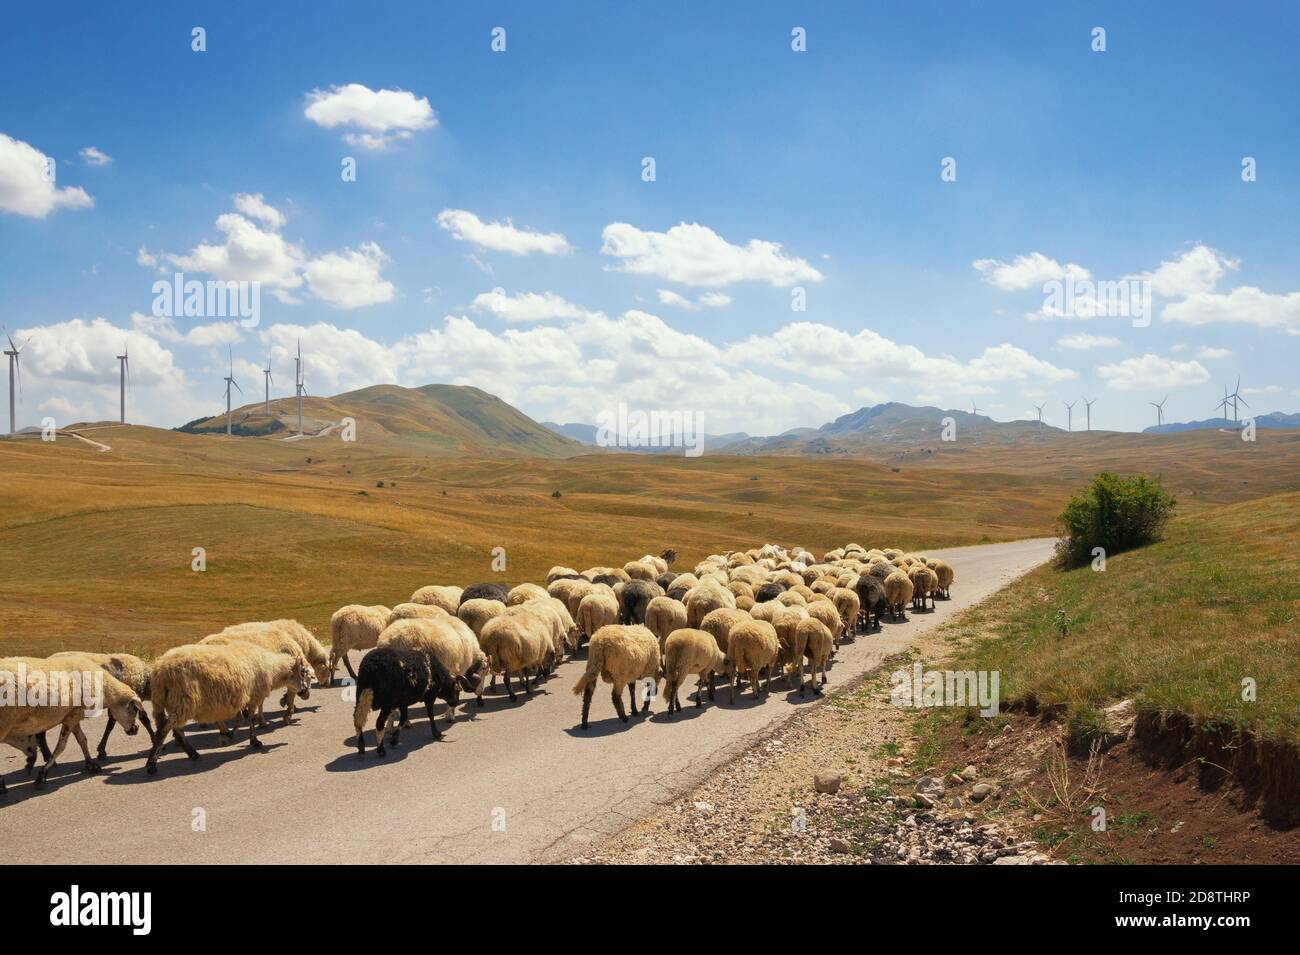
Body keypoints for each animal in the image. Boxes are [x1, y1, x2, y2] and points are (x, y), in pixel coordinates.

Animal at [1, 656, 146, 792]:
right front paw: (42, 775)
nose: (136, 728)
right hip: (4, 723)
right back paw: (3, 787)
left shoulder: (74, 714)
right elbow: (61, 746)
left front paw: (91, 764)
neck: (106, 689)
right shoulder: (73, 716)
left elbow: (82, 740)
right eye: (134, 709)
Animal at [145, 644, 311, 775]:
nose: (303, 691)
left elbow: (241, 718)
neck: (272, 669)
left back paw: (193, 754)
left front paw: (229, 734)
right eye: (302, 672)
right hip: (182, 702)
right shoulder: (254, 695)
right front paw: (254, 741)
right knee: (163, 731)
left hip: (168, 703)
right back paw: (151, 765)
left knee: (176, 730)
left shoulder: (242, 698)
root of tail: (161, 672)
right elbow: (249, 718)